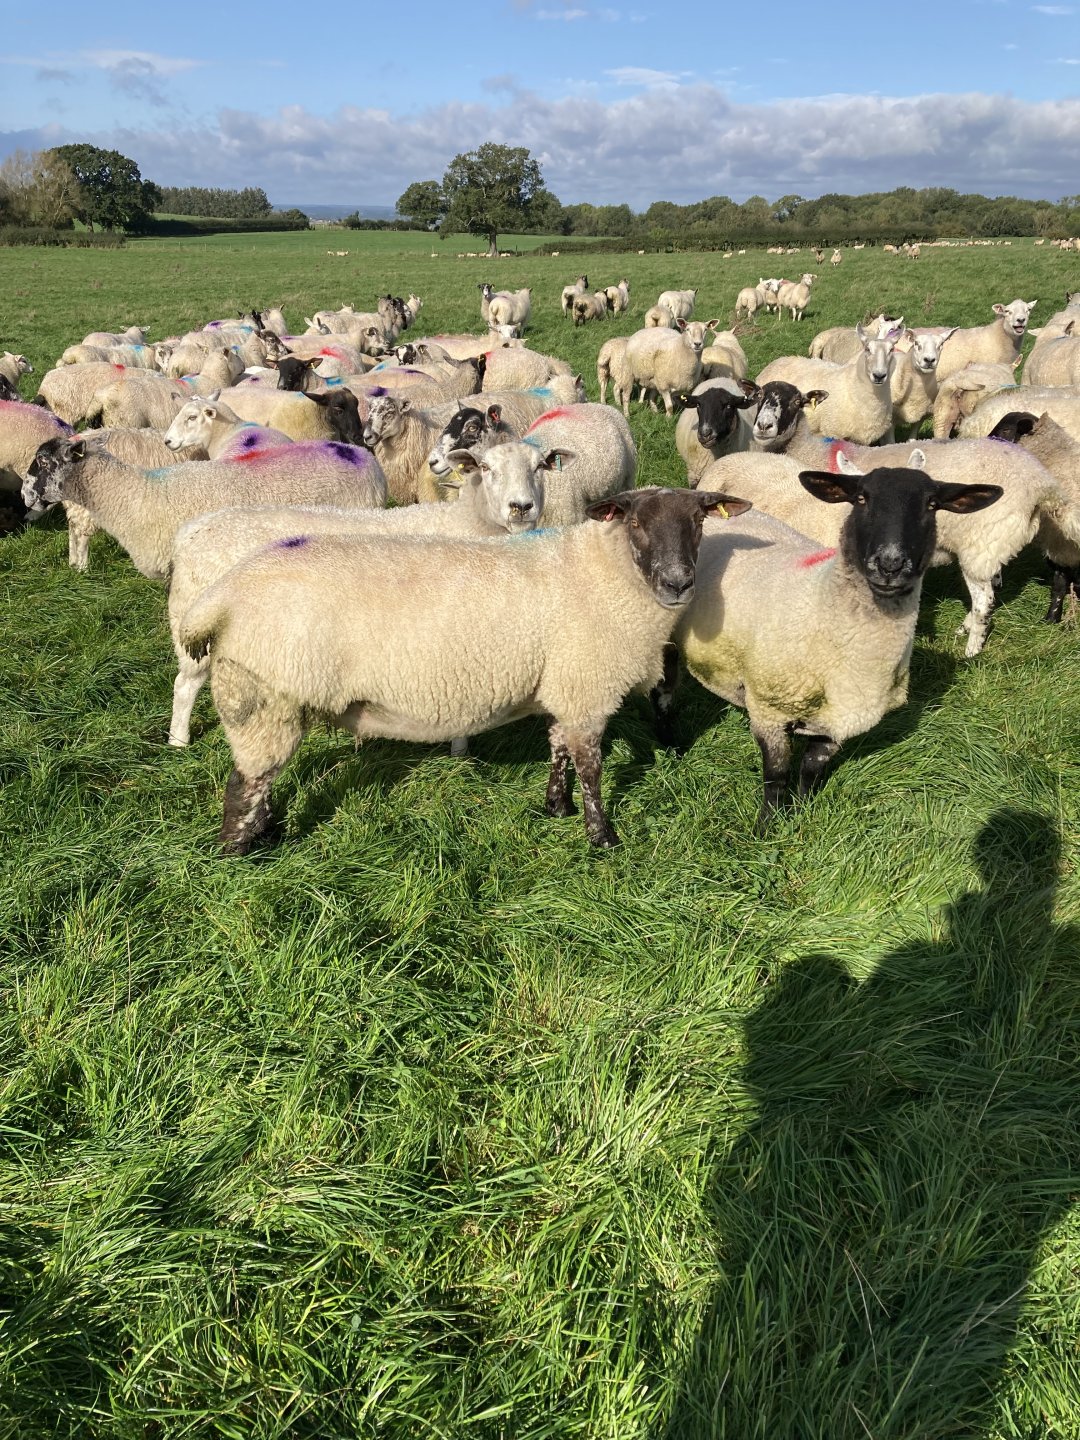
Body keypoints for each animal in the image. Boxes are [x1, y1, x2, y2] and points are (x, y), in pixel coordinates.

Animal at [165, 445, 556, 748]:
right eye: (486, 468)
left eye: (540, 466)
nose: (521, 507)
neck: (464, 524)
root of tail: (190, 532)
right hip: (196, 624)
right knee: (184, 685)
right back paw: (179, 741)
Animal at [178, 486, 745, 853]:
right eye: (635, 523)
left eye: (700, 522)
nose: (678, 584)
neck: (602, 572)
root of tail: (220, 597)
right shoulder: (587, 686)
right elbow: (591, 767)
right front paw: (602, 837)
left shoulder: (562, 683)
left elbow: (558, 746)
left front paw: (555, 807)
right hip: (262, 697)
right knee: (243, 786)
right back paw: (242, 854)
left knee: (257, 781)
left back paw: (263, 834)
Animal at [656, 452, 1001, 827]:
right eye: (861, 498)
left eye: (932, 504)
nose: (890, 565)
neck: (822, 605)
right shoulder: (767, 708)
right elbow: (776, 776)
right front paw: (768, 827)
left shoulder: (838, 720)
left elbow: (811, 769)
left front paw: (803, 812)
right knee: (662, 696)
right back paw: (670, 749)